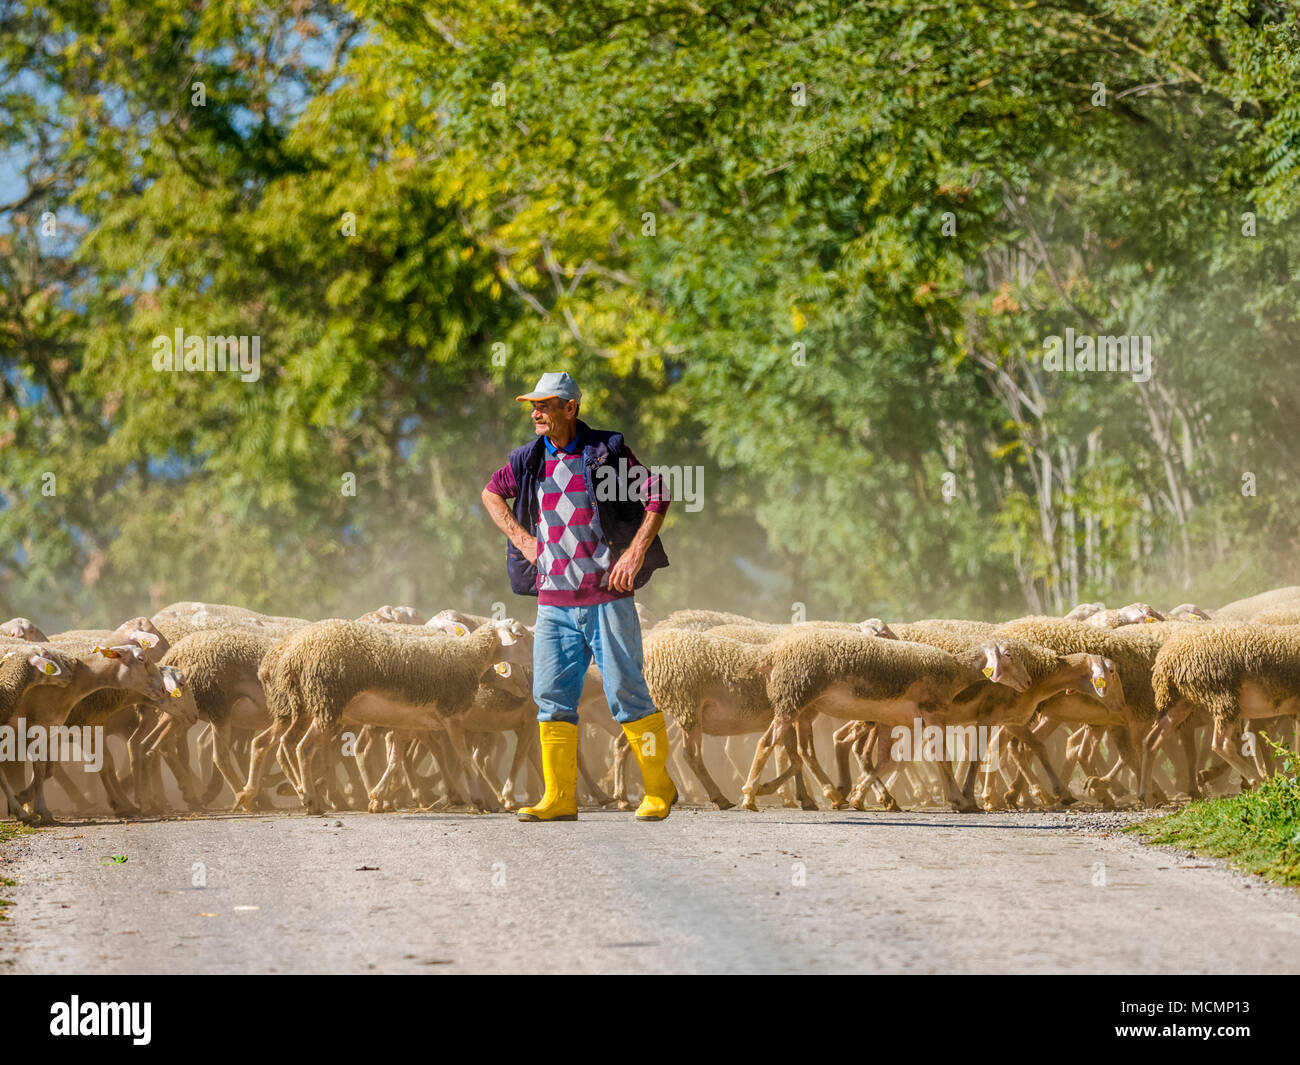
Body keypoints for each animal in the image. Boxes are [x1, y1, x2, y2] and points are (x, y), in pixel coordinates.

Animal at [239, 618, 532, 814]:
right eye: (520, 635)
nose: (534, 663)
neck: (469, 656)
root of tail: (294, 656)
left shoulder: (407, 721)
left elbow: (394, 760)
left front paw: (377, 797)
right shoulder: (452, 716)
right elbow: (464, 759)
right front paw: (480, 801)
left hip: (302, 707)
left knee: (283, 745)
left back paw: (298, 793)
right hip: (326, 702)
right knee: (303, 748)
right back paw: (311, 800)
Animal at [740, 628, 1032, 813]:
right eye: (1009, 655)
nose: (1029, 682)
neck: (955, 672)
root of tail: (770, 655)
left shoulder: (894, 720)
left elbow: (886, 761)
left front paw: (861, 795)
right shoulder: (932, 713)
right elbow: (942, 759)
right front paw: (960, 801)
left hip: (798, 704)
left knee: (800, 749)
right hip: (792, 698)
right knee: (767, 743)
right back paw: (750, 796)